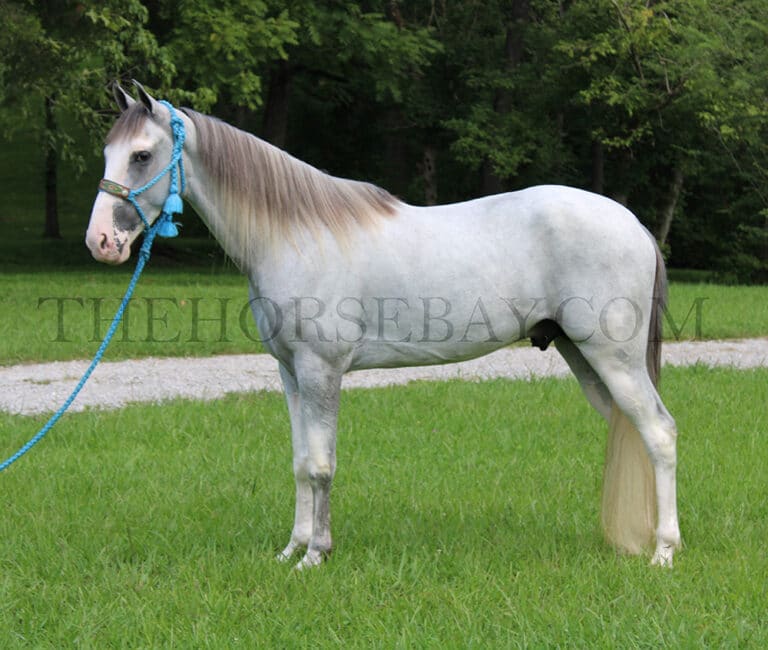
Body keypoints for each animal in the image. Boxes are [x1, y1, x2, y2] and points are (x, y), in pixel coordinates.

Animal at [86, 82, 681, 569]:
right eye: (108, 152)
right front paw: (291, 549)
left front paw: (316, 556)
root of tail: (635, 225)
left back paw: (663, 551)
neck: (295, 236)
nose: (101, 242)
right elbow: (300, 463)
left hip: (613, 359)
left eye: (142, 154)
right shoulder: (290, 374)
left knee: (659, 433)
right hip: (584, 358)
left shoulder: (321, 371)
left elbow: (321, 465)